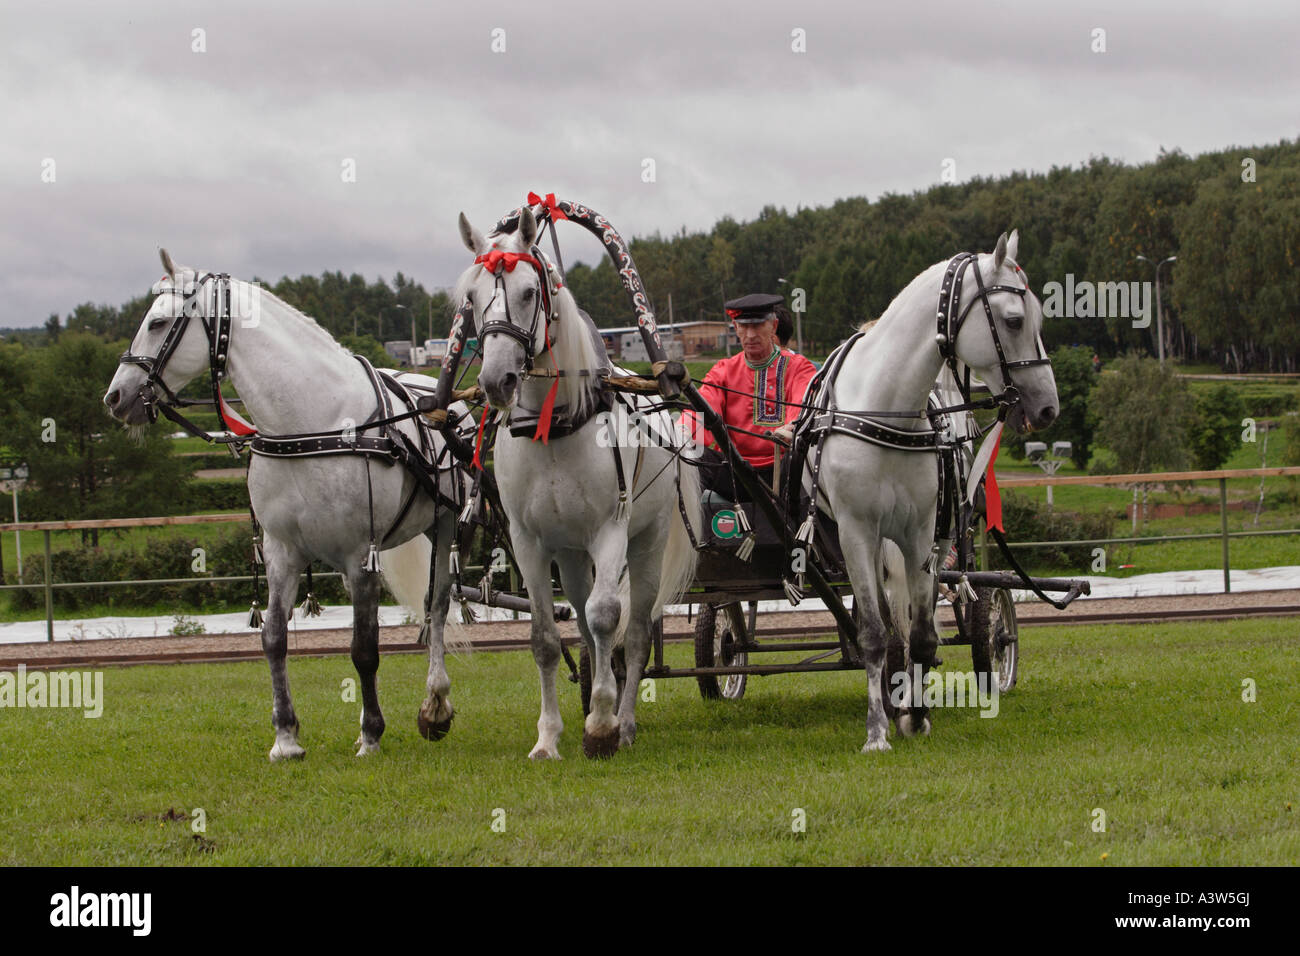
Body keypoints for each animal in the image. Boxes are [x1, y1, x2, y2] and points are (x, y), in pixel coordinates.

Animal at [103, 250, 468, 760]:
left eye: (157, 323)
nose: (114, 397)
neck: (312, 423)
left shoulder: (360, 556)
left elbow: (364, 649)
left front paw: (371, 734)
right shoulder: (281, 551)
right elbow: (274, 639)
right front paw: (286, 737)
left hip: (446, 524)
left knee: (435, 608)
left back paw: (435, 705)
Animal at [455, 206, 701, 759]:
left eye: (529, 291)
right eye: (472, 297)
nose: (497, 381)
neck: (555, 428)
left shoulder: (610, 531)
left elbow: (609, 616)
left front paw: (603, 726)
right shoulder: (530, 540)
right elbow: (548, 637)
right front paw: (549, 736)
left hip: (647, 542)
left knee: (635, 632)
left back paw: (623, 721)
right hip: (569, 555)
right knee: (586, 628)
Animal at [806, 231, 1058, 752]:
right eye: (1014, 319)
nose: (1048, 407)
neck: (886, 410)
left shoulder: (920, 533)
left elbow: (921, 633)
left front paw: (916, 715)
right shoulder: (856, 533)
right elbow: (874, 634)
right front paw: (877, 729)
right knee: (880, 621)